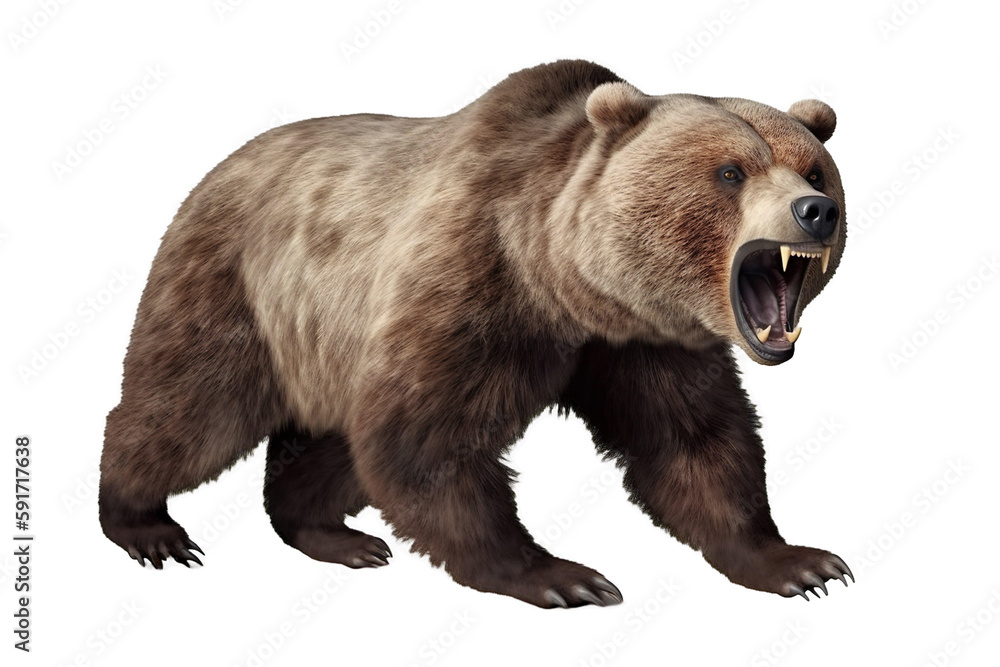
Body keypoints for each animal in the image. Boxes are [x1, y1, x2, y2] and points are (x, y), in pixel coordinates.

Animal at [99, 59, 852, 608]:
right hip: (237, 287)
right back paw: (146, 525)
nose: (816, 210)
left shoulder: (643, 340)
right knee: (192, 411)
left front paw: (800, 562)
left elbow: (693, 439)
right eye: (730, 171)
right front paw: (562, 575)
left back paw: (334, 535)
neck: (565, 283)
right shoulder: (473, 283)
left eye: (813, 167)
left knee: (329, 442)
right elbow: (423, 441)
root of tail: (219, 165)